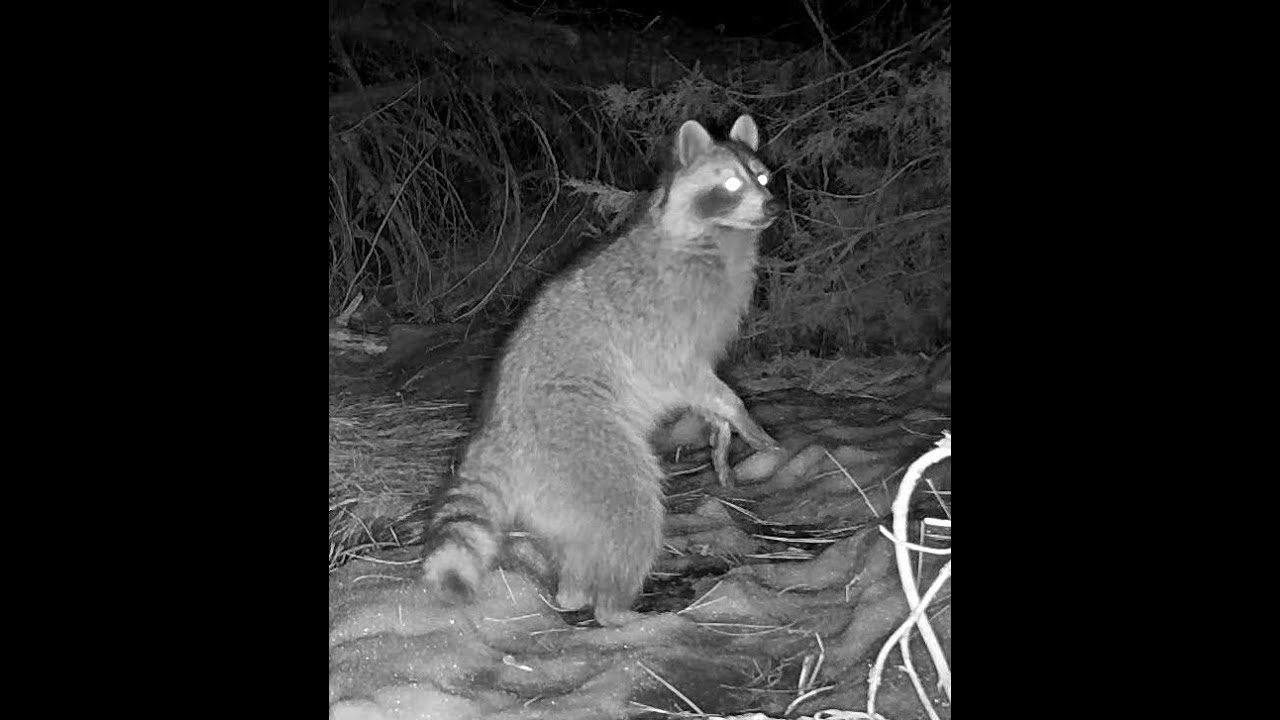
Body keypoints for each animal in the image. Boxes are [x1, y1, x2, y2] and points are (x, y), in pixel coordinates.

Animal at [421, 114, 783, 626]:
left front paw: (721, 428)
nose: (771, 204)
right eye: (731, 184)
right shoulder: (659, 323)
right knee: (631, 509)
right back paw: (617, 608)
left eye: (763, 179)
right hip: (580, 438)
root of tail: (496, 433)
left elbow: (702, 385)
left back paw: (574, 592)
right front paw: (737, 413)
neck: (720, 237)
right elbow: (687, 377)